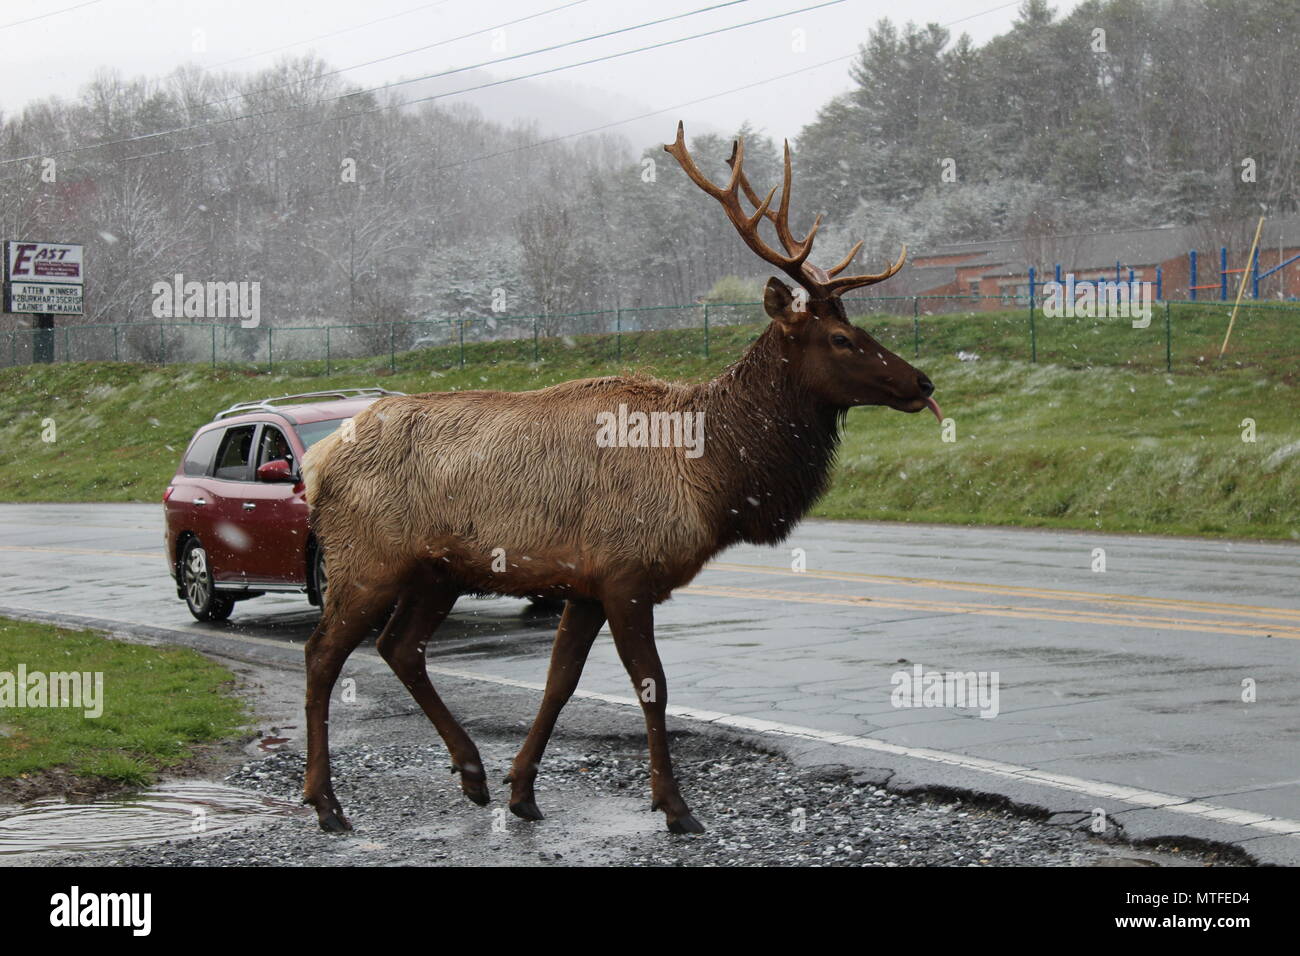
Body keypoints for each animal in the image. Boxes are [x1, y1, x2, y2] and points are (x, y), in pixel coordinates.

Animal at [299, 122, 942, 835]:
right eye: (839, 339)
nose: (922, 382)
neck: (712, 475)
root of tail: (317, 459)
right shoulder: (627, 571)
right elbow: (651, 684)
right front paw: (676, 807)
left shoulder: (583, 585)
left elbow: (560, 682)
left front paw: (523, 790)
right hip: (367, 559)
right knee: (322, 655)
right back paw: (326, 803)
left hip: (435, 571)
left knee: (400, 648)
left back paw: (471, 773)